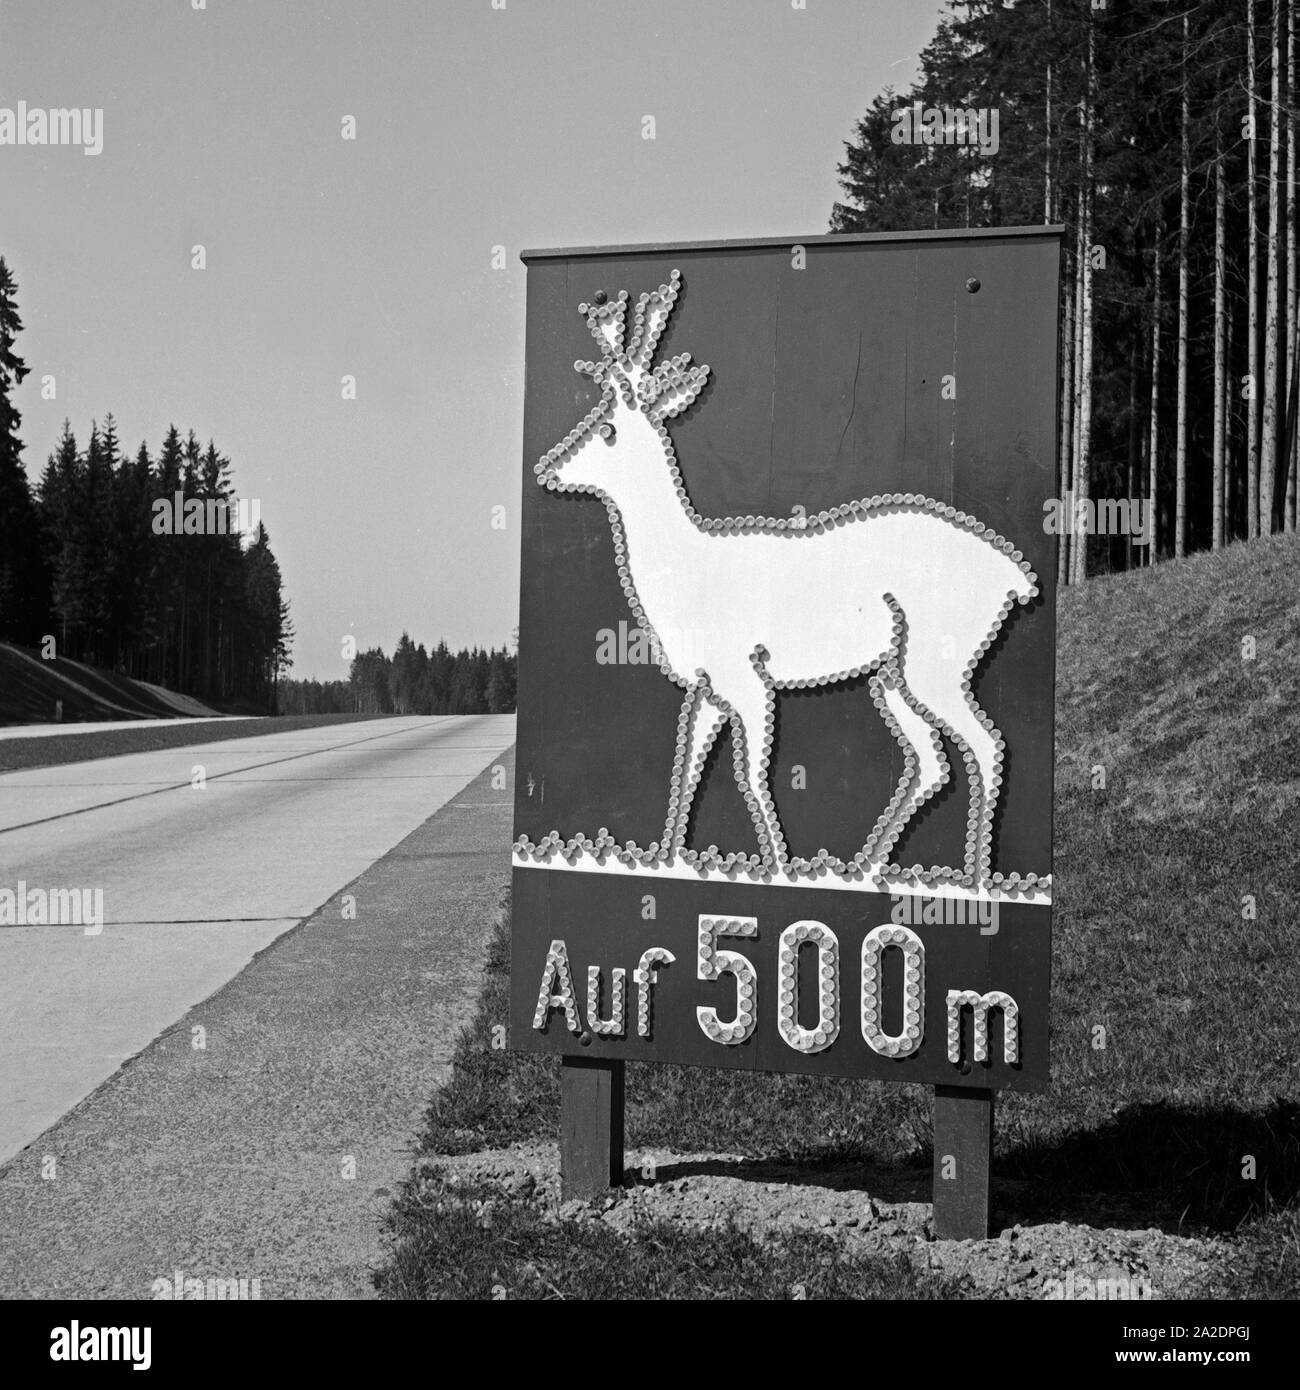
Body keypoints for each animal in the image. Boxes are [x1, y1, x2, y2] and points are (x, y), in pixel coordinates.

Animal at [535, 270, 1039, 890]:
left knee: (987, 744)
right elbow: (689, 766)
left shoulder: (745, 673)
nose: (549, 468)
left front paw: (776, 868)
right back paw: (866, 868)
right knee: (930, 761)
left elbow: (751, 774)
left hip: (940, 656)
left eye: (606, 427)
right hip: (892, 675)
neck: (687, 568)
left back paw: (974, 882)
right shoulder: (708, 684)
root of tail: (1016, 578)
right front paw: (667, 860)